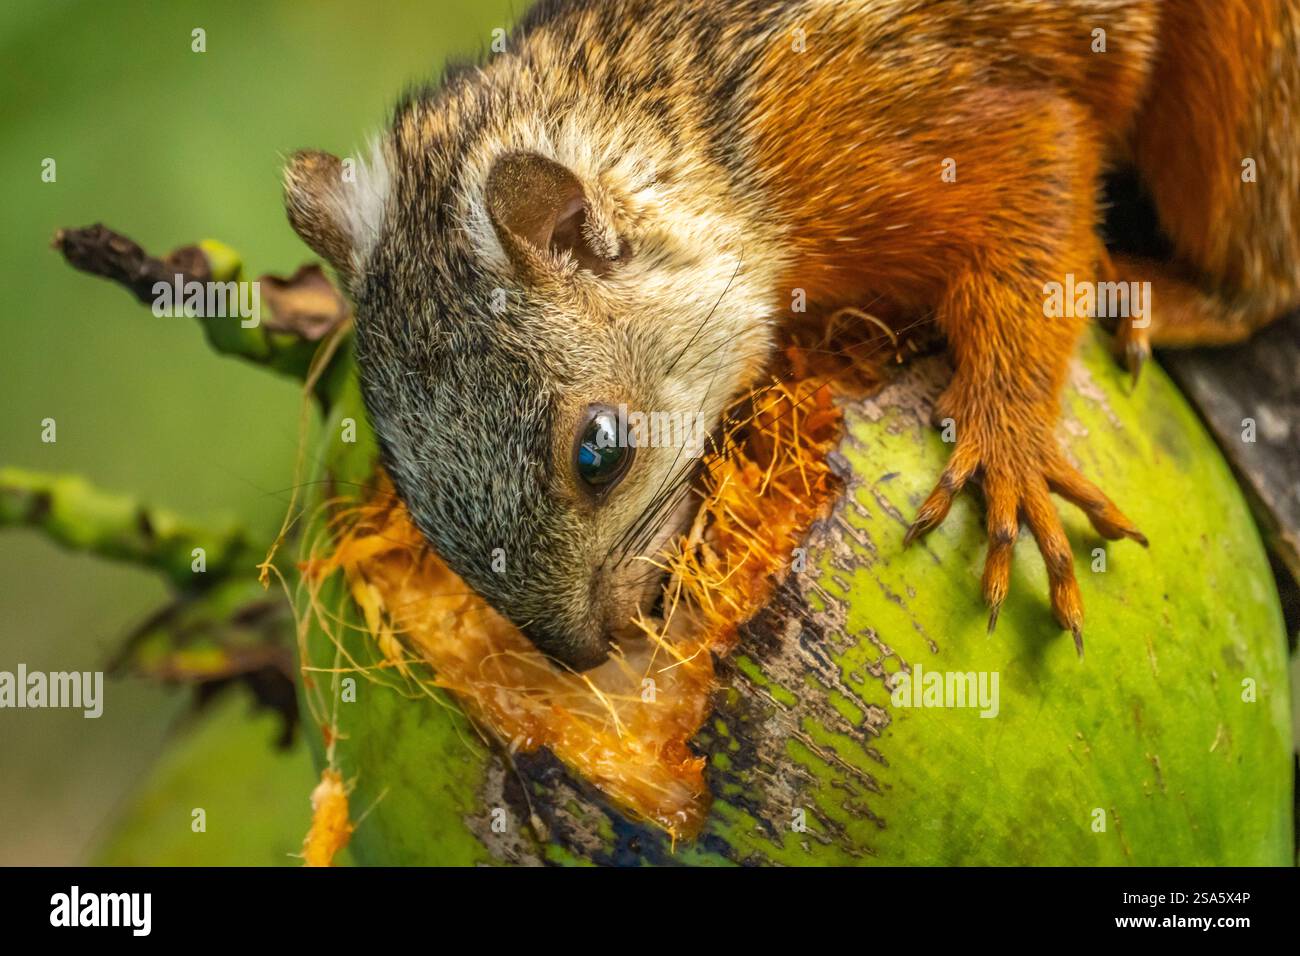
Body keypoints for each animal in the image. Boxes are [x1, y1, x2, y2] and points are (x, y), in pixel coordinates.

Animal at [283, 0, 1299, 670]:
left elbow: (1036, 162)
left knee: (1261, 277)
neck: (696, 127)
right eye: (404, 482)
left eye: (599, 452)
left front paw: (1009, 445)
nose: (583, 656)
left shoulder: (884, 120)